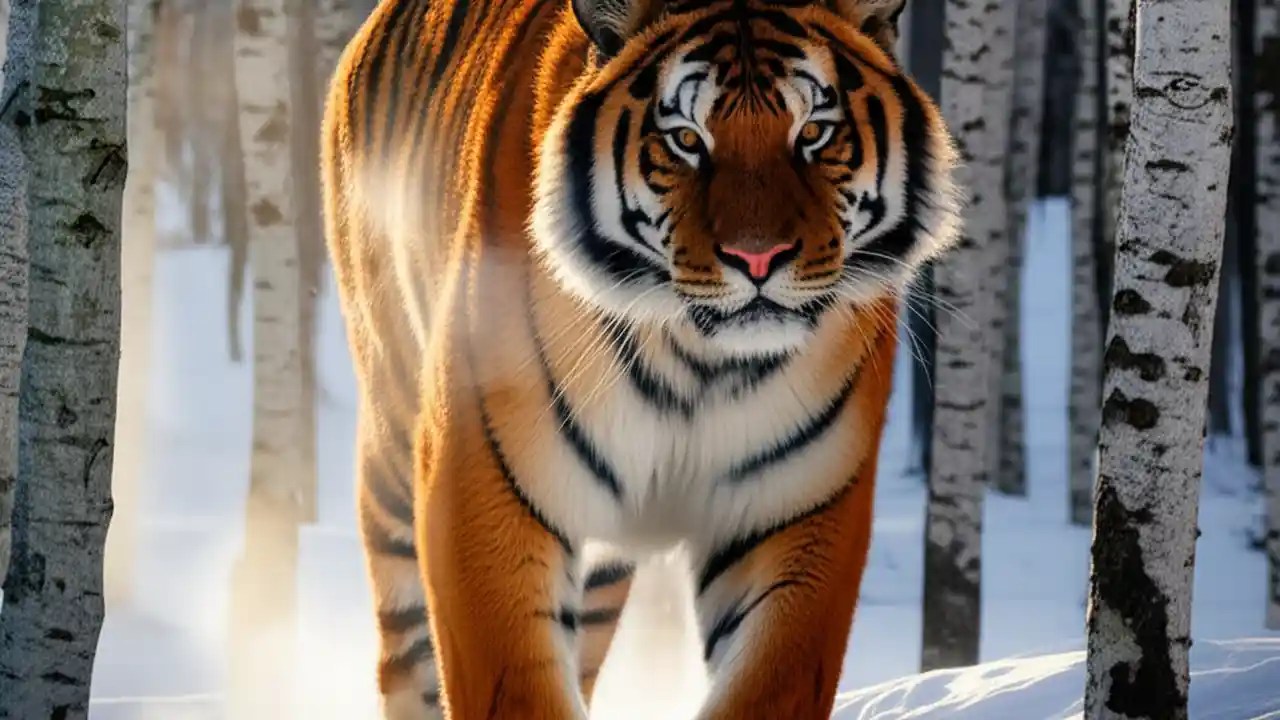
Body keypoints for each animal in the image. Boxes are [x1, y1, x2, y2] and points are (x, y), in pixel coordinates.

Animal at [321, 0, 959, 717]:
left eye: (815, 132)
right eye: (686, 140)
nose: (758, 258)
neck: (700, 361)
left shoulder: (797, 514)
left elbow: (768, 684)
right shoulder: (485, 486)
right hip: (393, 451)